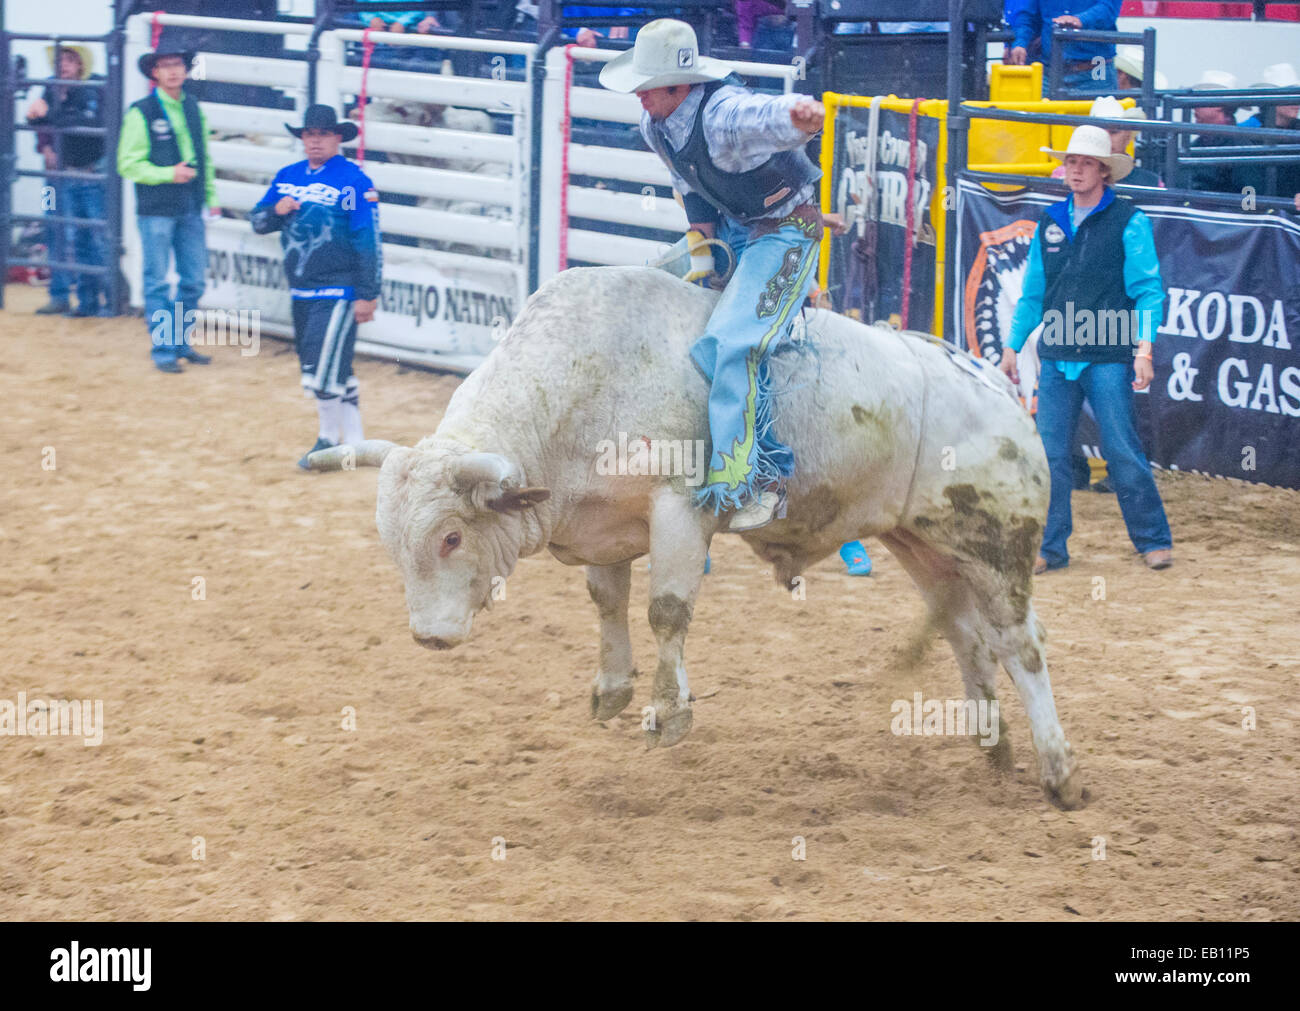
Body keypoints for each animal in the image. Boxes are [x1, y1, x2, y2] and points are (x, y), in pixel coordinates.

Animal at [308, 266, 1085, 809]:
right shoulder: (604, 526)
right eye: (393, 543)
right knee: (966, 636)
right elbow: (606, 602)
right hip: (925, 547)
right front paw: (611, 689)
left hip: (998, 548)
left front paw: (667, 712)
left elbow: (667, 610)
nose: (429, 637)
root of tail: (1002, 393)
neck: (575, 389)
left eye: (449, 538)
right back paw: (993, 747)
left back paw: (1061, 775)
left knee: (1023, 647)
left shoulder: (679, 510)